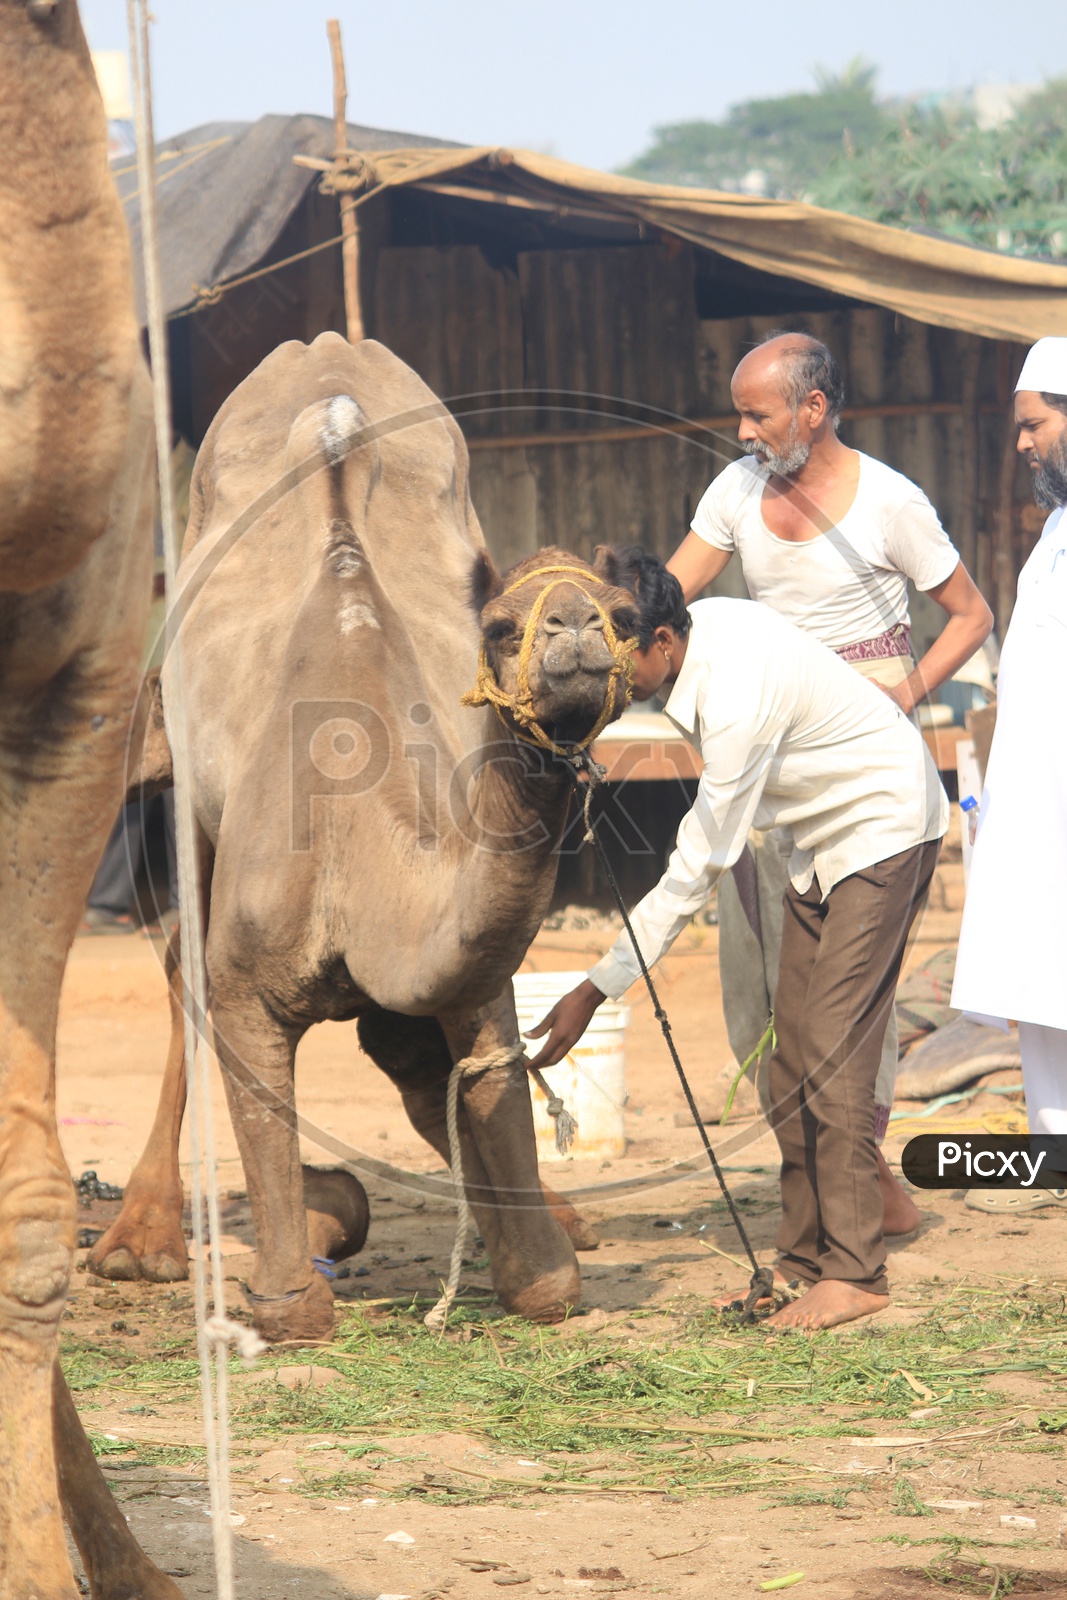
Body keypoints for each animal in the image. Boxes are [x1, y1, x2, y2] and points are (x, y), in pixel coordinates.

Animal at [87, 331, 637, 1344]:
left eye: (622, 615)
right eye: (500, 628)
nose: (574, 631)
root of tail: (322, 344)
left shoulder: (464, 956)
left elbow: (484, 1083)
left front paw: (539, 1256)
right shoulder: (251, 962)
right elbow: (244, 1051)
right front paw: (284, 1286)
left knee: (408, 1061)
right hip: (186, 779)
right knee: (183, 957)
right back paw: (140, 1242)